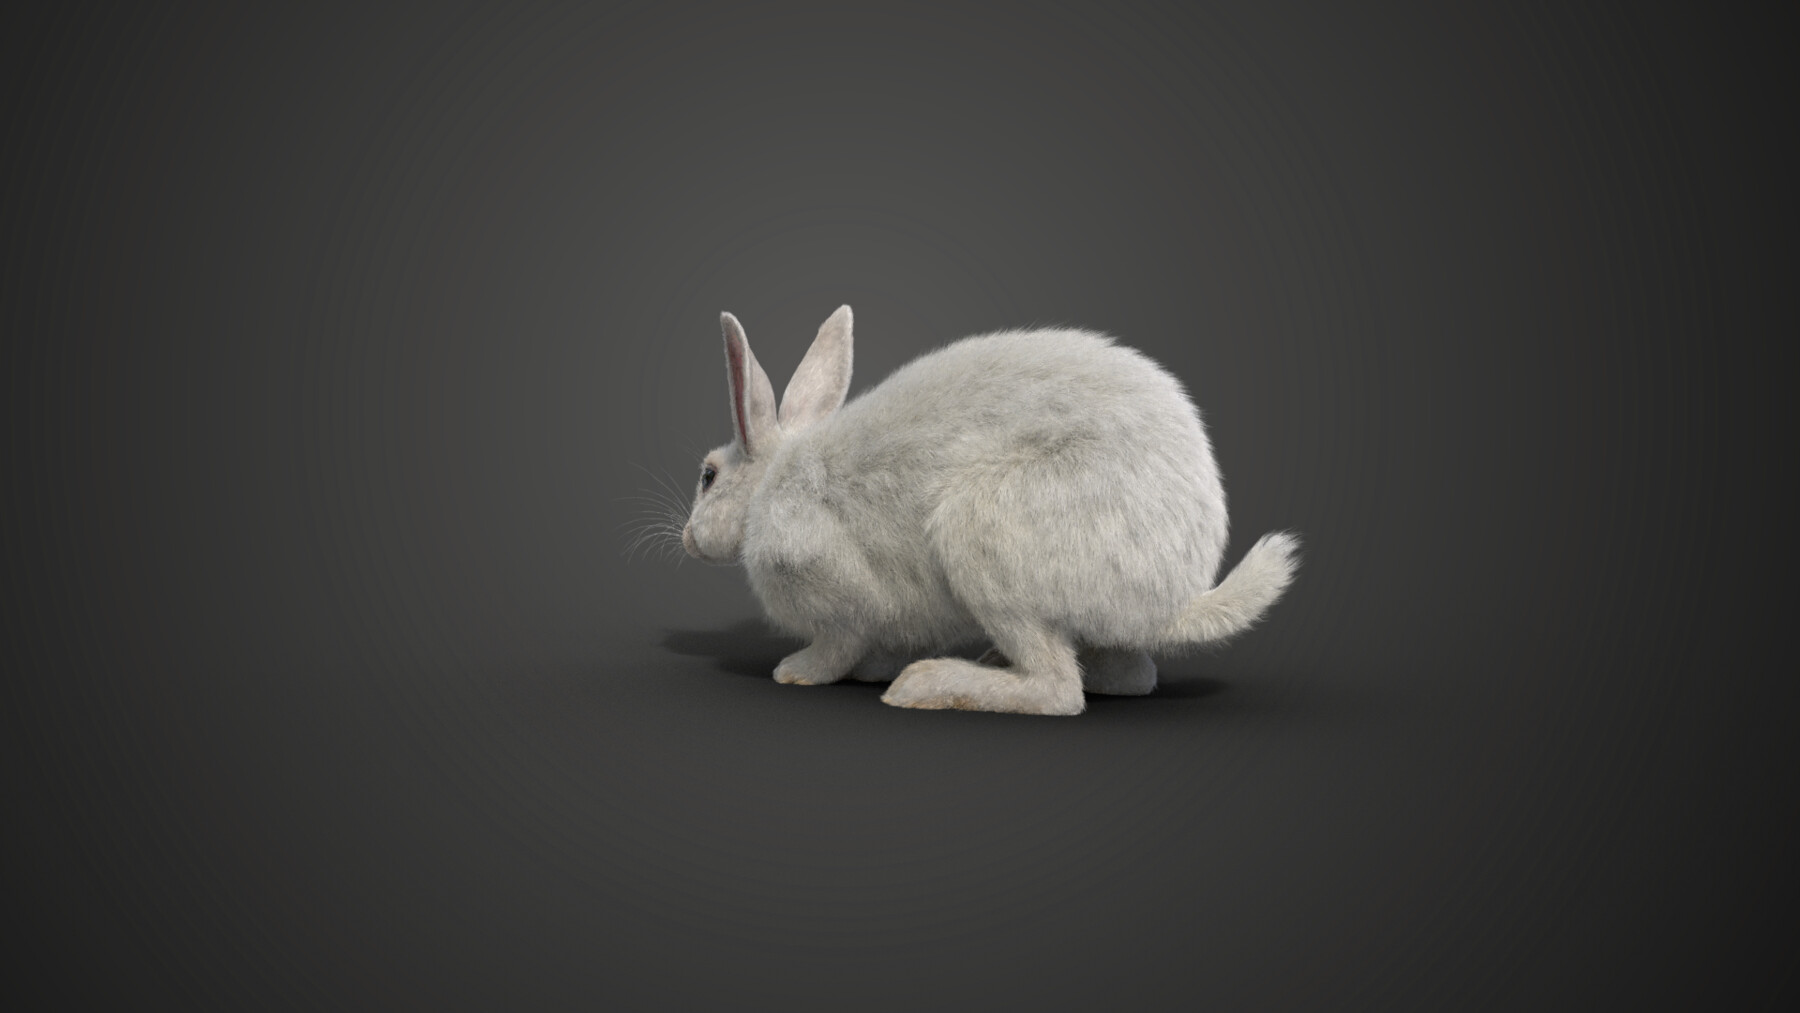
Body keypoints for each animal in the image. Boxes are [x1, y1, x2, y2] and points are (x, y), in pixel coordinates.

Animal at [680, 305, 1300, 716]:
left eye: (708, 476)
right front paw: (868, 668)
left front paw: (796, 673)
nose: (686, 539)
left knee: (1058, 689)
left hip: (985, 540)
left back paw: (927, 686)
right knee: (1127, 675)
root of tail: (1173, 597)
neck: (770, 482)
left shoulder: (840, 594)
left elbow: (838, 645)